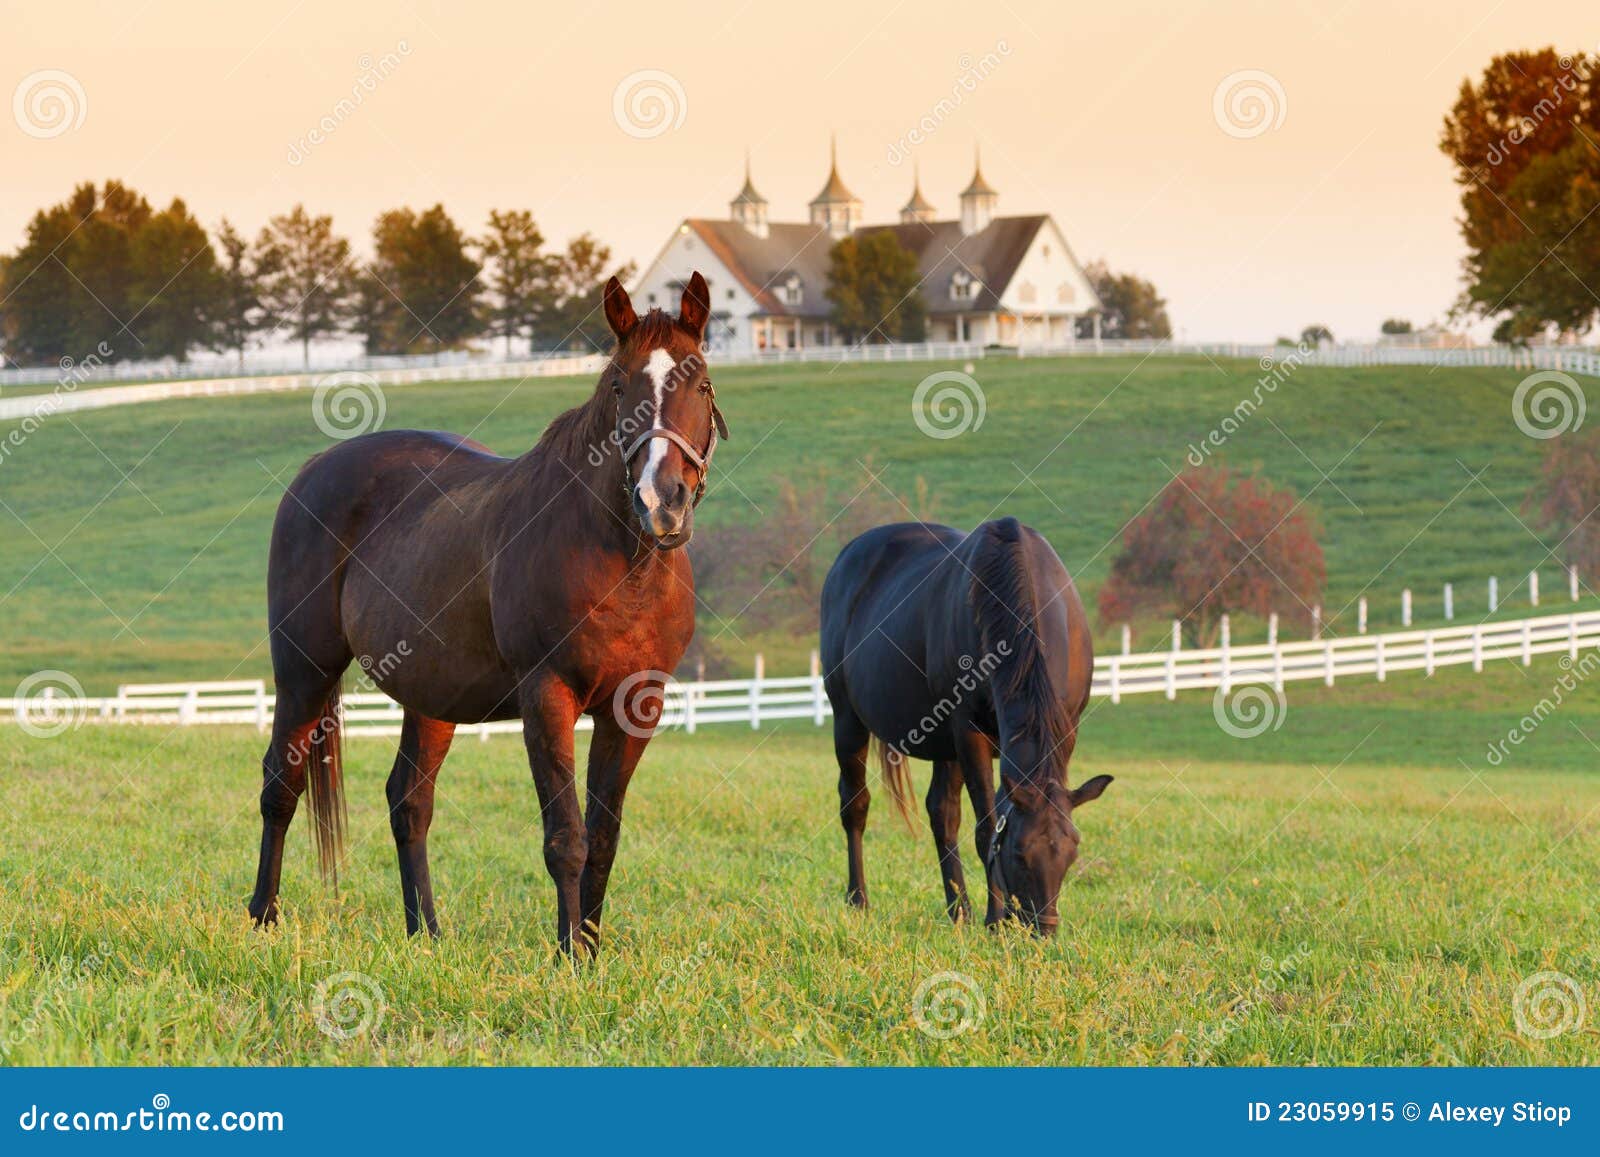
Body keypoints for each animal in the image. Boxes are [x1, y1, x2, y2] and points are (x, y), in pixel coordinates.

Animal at [246, 272, 729, 957]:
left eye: (702, 384)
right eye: (618, 386)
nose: (662, 501)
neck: (622, 563)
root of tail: (314, 472)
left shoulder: (637, 706)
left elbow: (603, 839)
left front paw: (591, 950)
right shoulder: (547, 696)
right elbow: (566, 837)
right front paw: (569, 957)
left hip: (429, 695)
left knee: (409, 803)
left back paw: (425, 932)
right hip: (303, 673)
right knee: (280, 787)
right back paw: (264, 916)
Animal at [818, 517, 1112, 933]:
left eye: (1071, 852)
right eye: (1019, 854)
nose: (1043, 929)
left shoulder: (1063, 731)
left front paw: (992, 914)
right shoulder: (969, 734)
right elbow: (987, 827)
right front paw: (995, 920)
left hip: (945, 745)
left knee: (942, 814)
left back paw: (959, 910)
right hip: (848, 720)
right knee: (855, 805)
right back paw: (859, 899)